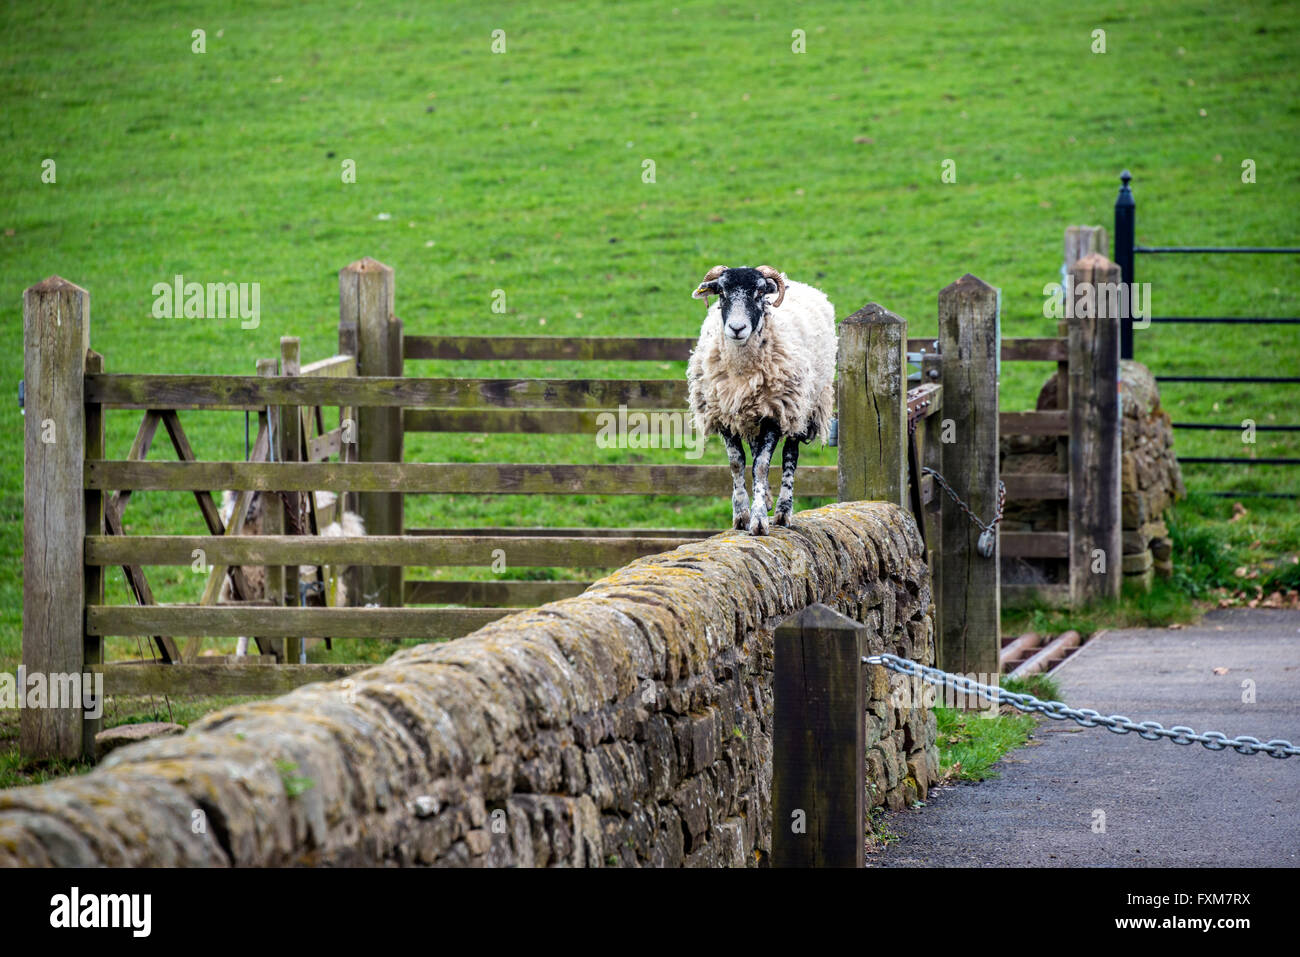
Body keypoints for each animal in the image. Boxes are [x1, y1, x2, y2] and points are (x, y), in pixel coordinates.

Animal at [687, 264, 836, 535]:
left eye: (759, 293)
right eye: (721, 292)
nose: (737, 328)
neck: (741, 373)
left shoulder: (775, 414)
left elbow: (761, 466)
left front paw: (758, 521)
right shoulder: (724, 416)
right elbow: (737, 464)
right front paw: (741, 516)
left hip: (802, 408)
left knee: (789, 455)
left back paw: (782, 512)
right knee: (757, 451)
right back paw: (766, 498)